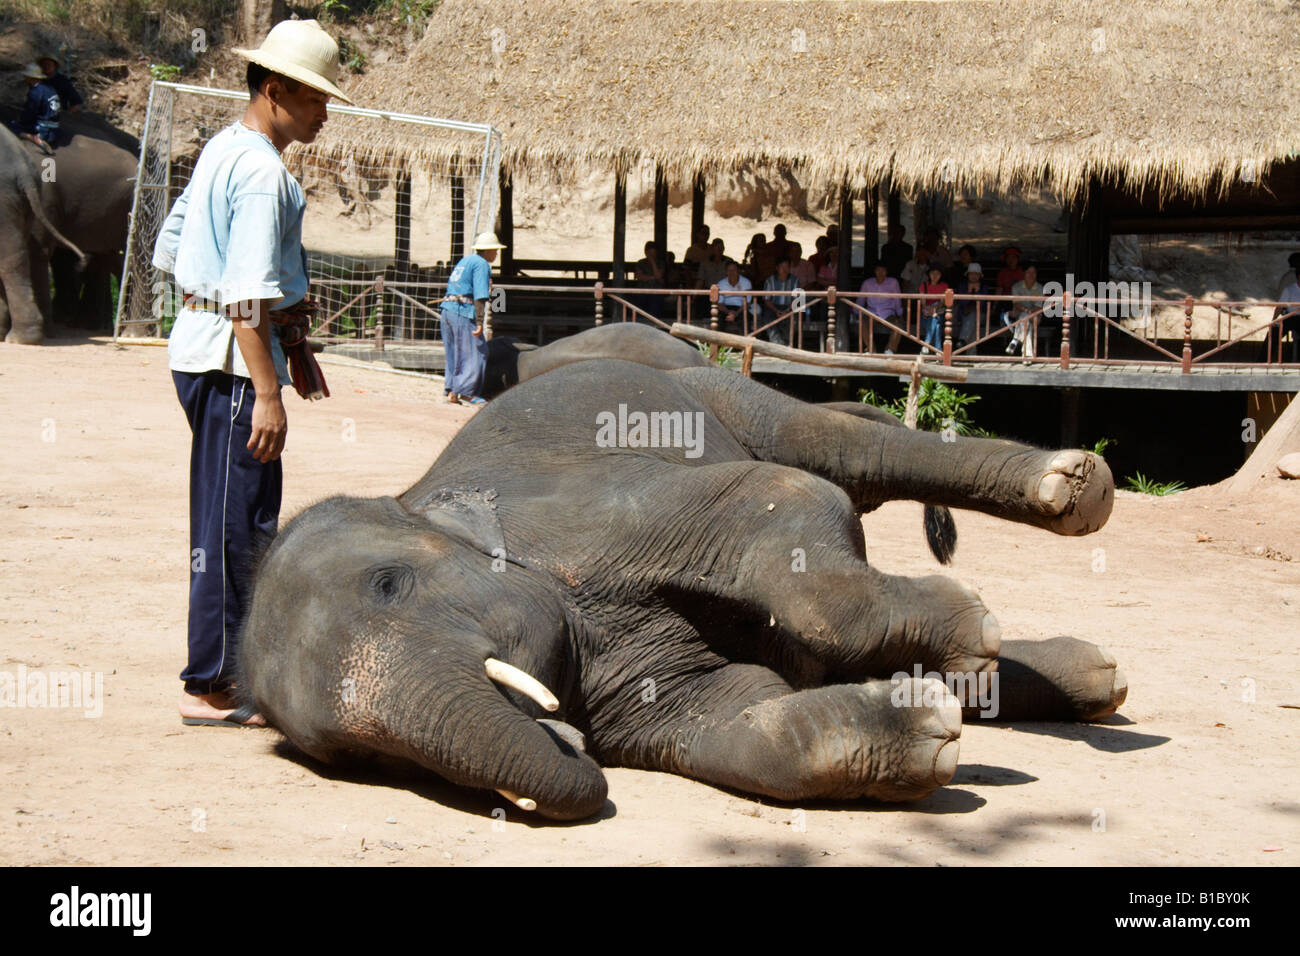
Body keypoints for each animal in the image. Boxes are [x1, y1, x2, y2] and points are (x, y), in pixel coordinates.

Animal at [239, 324, 1123, 820]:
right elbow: (741, 719)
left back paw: (1072, 489)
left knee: (835, 451)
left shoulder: (586, 511)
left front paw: (969, 633)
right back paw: (1094, 677)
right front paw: (930, 732)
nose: (565, 742)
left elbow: (781, 498)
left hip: (713, 389)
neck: (420, 502)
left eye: (390, 584)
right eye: (363, 761)